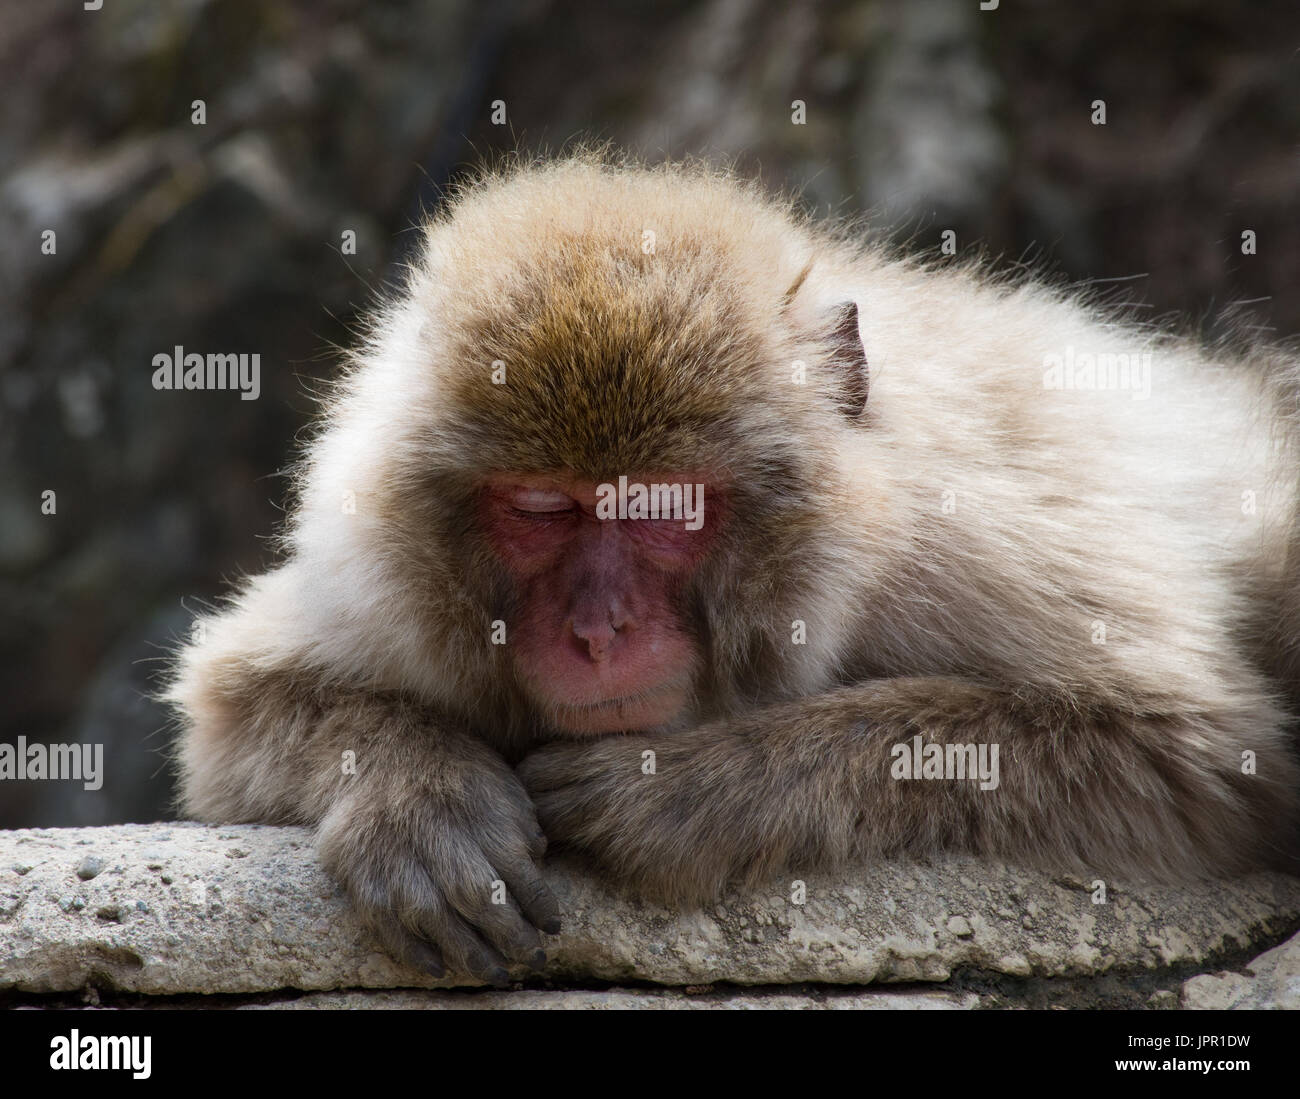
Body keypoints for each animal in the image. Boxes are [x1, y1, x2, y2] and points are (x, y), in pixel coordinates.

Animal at [165, 152, 1300, 985]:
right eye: (539, 507)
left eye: (668, 509)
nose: (597, 632)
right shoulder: (382, 577)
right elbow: (233, 702)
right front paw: (422, 799)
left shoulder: (971, 541)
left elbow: (1189, 746)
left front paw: (684, 793)